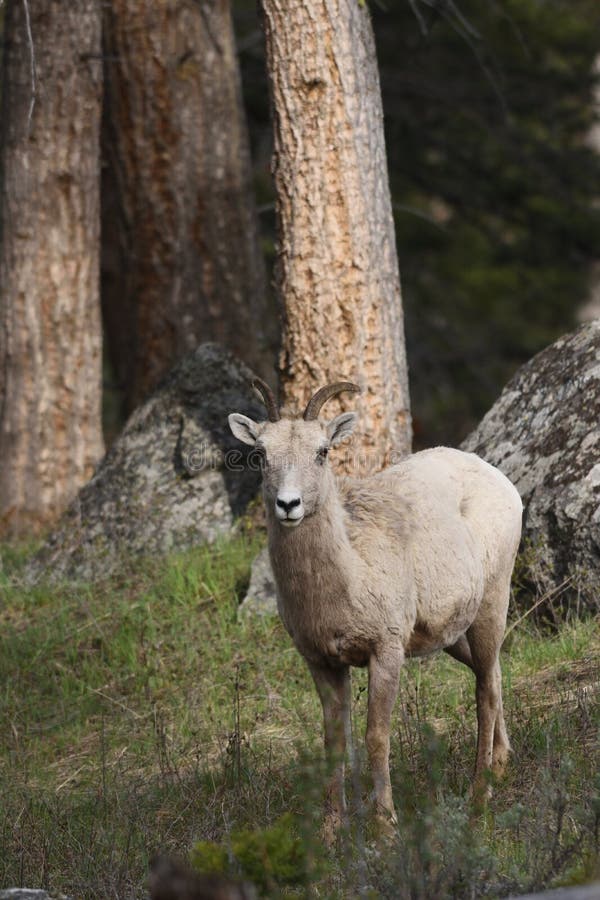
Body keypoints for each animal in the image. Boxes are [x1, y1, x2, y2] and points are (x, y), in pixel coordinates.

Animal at [229, 379, 523, 842]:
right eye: (261, 454)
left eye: (322, 451)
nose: (288, 504)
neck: (348, 572)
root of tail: (497, 478)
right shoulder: (322, 662)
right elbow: (334, 742)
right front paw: (331, 831)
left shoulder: (385, 651)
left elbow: (376, 737)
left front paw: (385, 826)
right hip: (453, 636)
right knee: (490, 673)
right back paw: (500, 765)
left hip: (492, 604)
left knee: (486, 693)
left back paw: (479, 799)